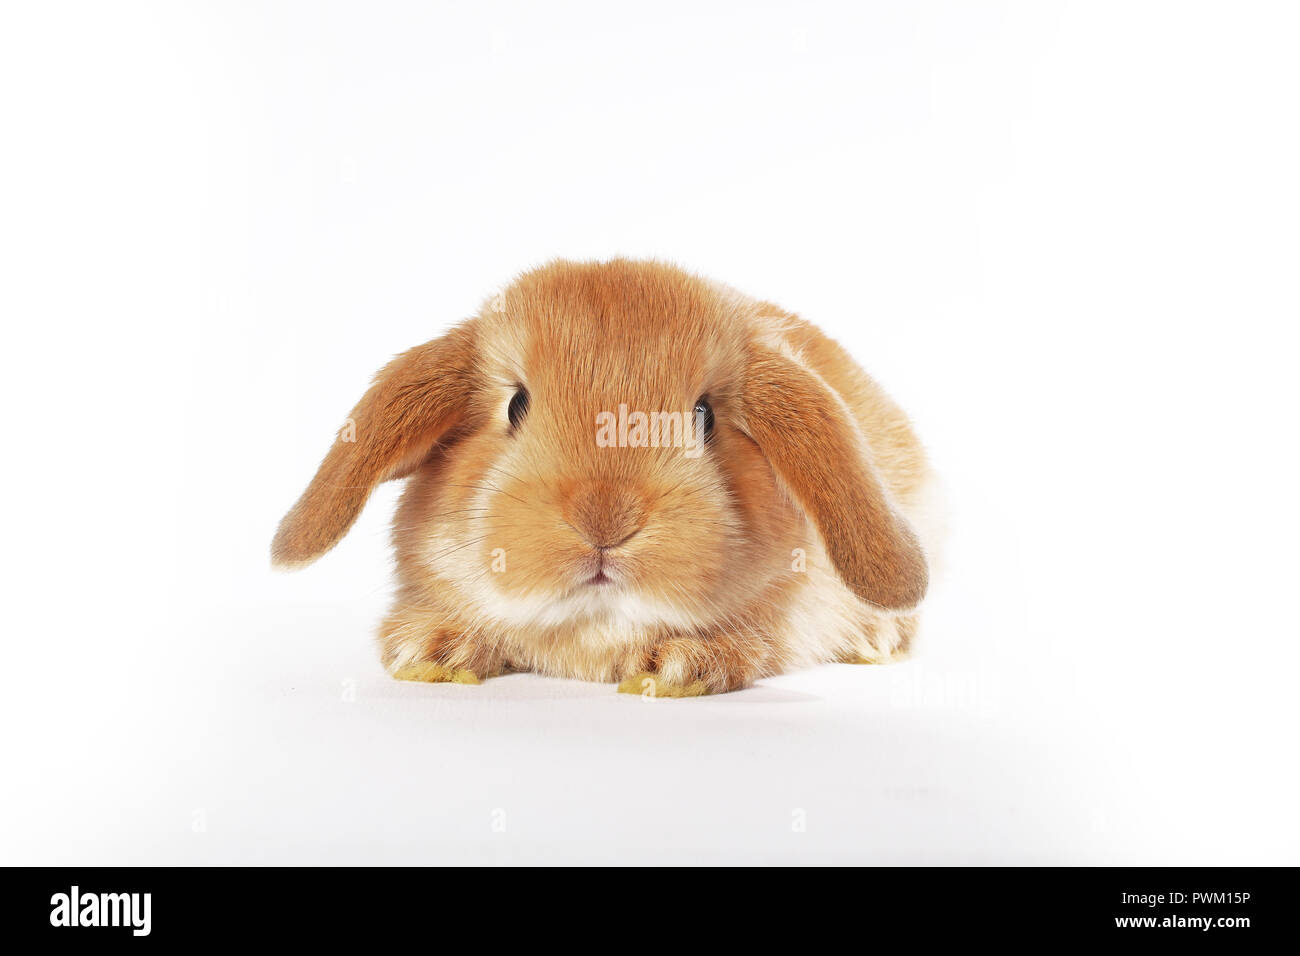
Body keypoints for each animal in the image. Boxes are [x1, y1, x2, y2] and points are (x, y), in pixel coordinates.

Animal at [272, 259, 939, 695]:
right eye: (516, 405)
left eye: (705, 416)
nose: (605, 517)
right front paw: (434, 649)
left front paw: (678, 667)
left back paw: (878, 641)